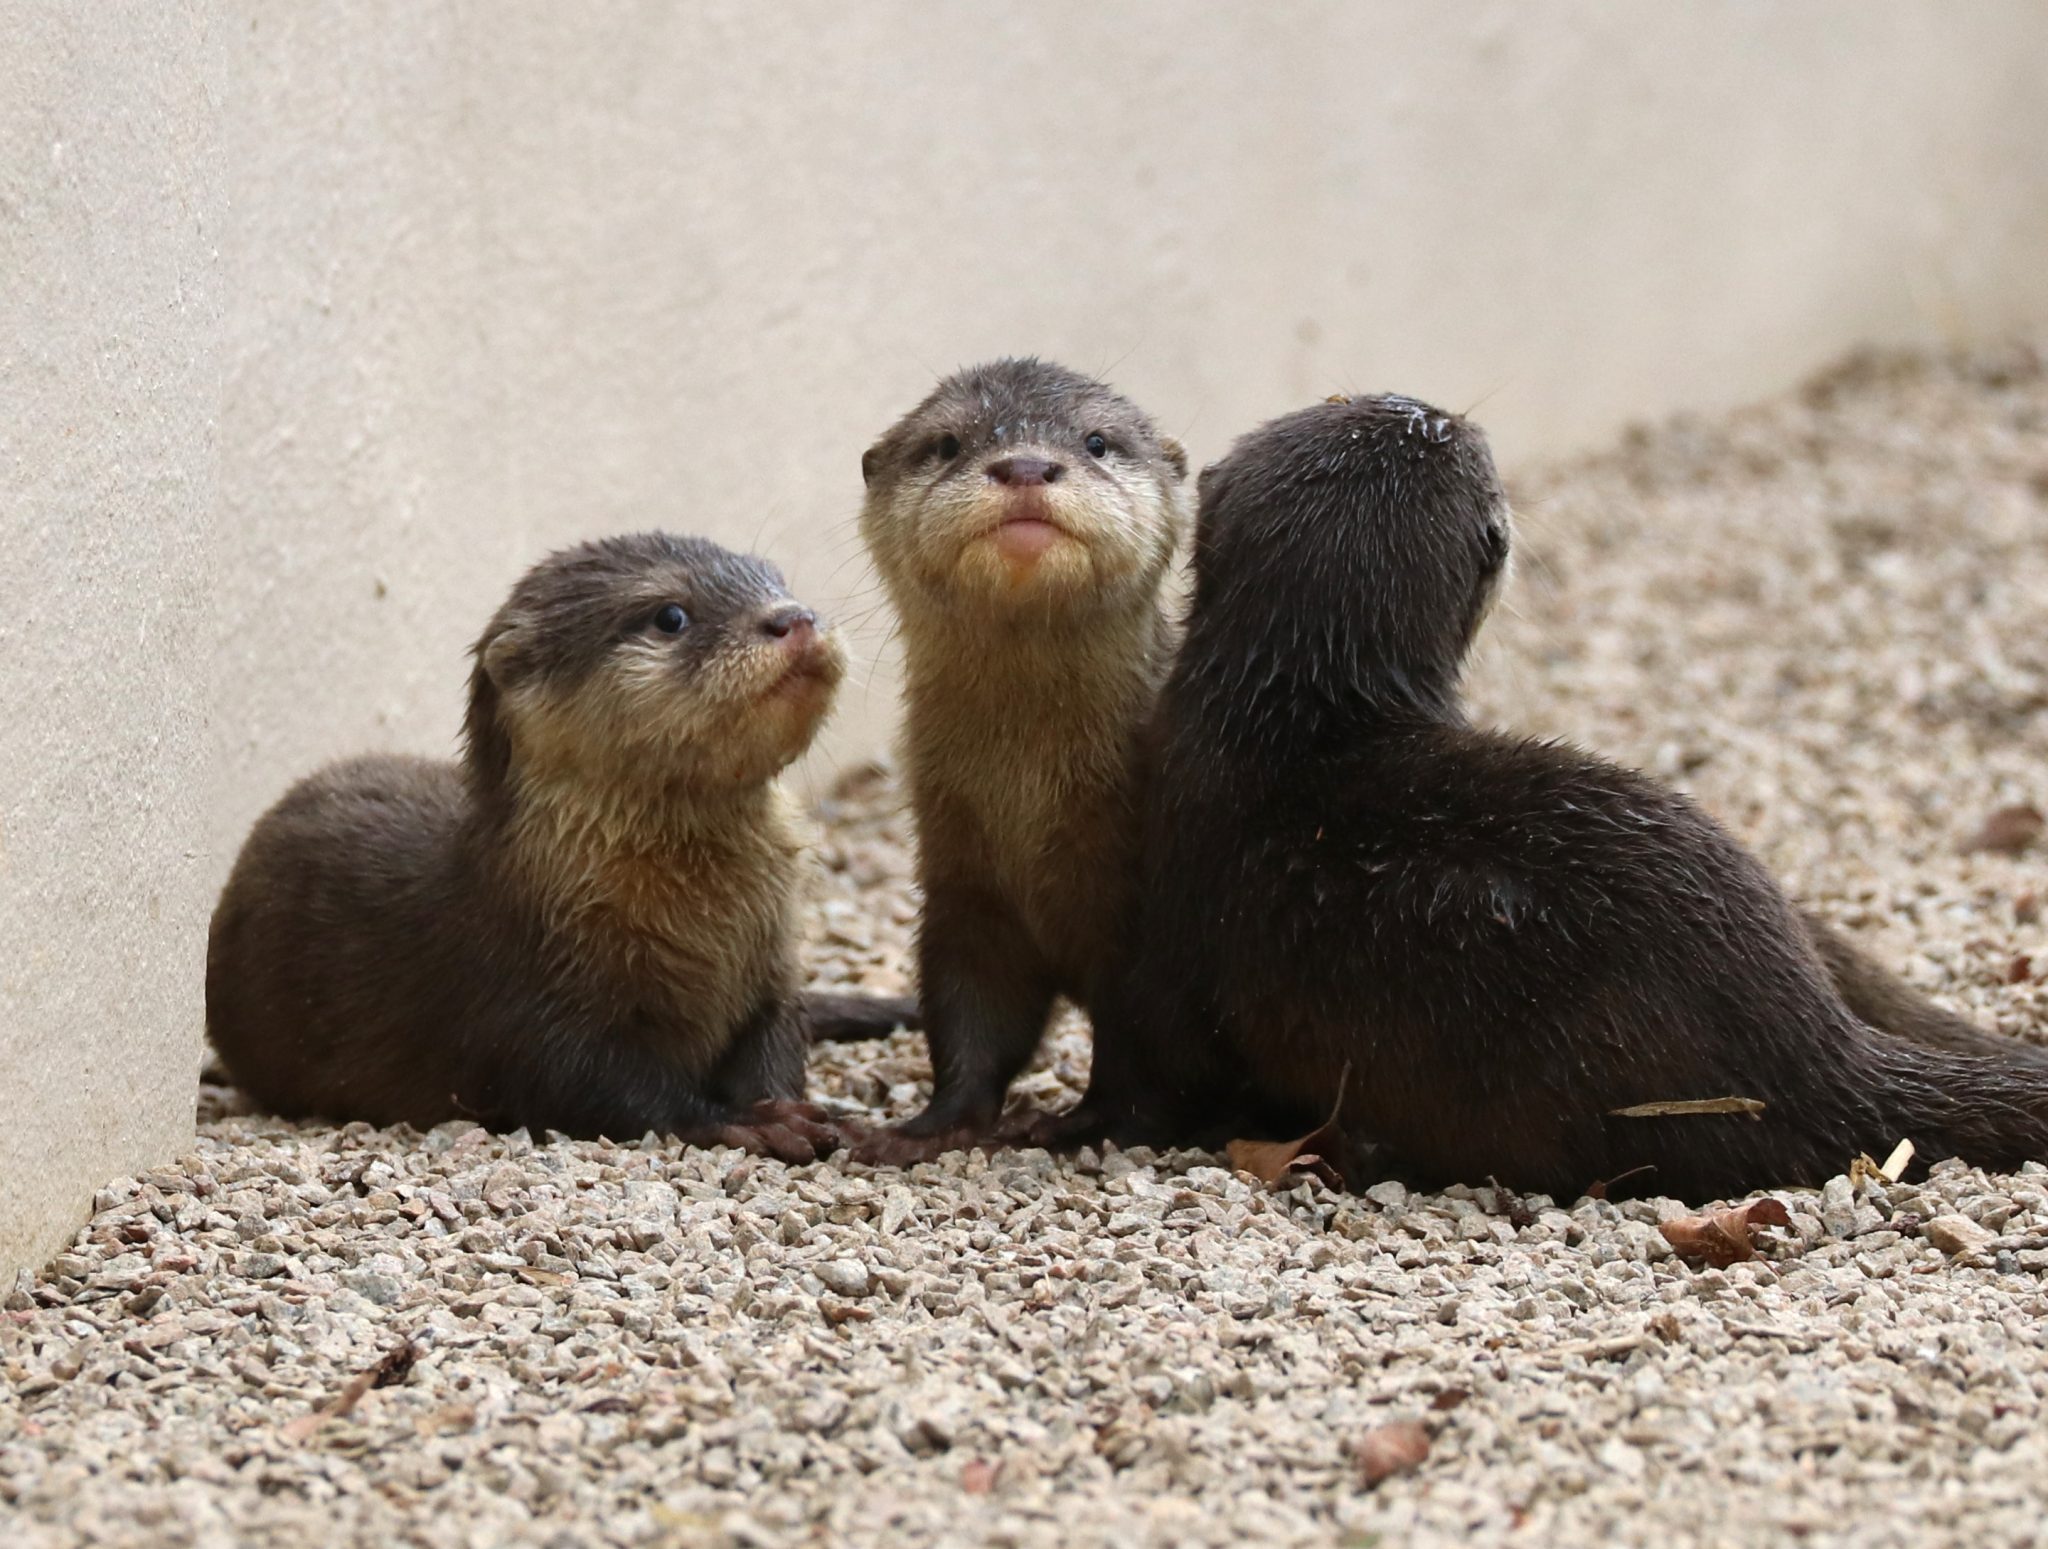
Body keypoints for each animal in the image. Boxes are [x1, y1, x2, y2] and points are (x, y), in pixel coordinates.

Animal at [207, 532, 899, 1160]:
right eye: (670, 616)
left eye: (777, 580)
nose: (794, 617)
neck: (706, 927)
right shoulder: (522, 996)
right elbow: (593, 1082)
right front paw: (749, 1122)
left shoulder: (773, 967)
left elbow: (779, 1036)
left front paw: (802, 1109)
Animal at [849, 358, 1191, 1160]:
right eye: (947, 444)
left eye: (1097, 441)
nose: (1027, 466)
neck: (1033, 802)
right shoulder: (966, 891)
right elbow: (970, 1015)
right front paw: (929, 1128)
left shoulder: (1142, 926)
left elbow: (1135, 1041)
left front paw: (1092, 1122)